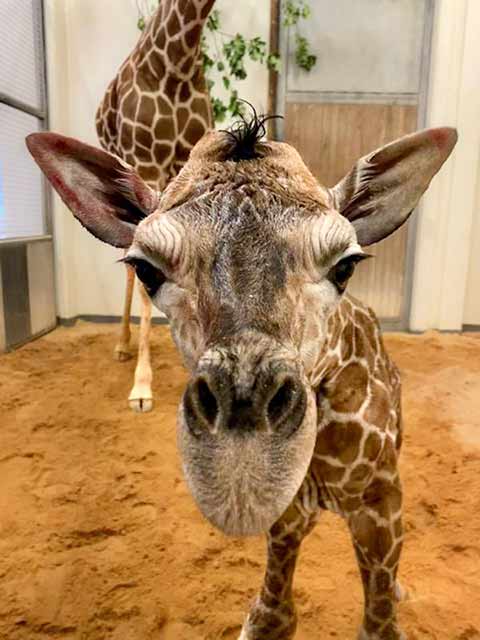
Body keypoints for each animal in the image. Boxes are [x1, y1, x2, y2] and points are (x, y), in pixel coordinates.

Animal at [27, 114, 456, 638]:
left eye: (346, 264)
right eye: (147, 269)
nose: (241, 467)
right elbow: (271, 616)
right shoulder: (288, 515)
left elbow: (379, 625)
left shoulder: (381, 493)